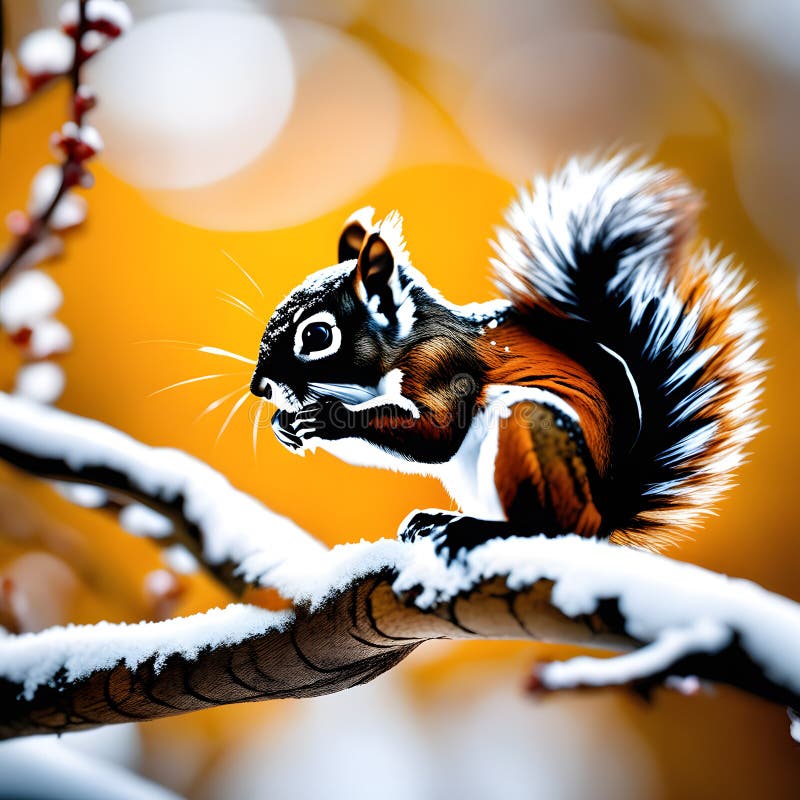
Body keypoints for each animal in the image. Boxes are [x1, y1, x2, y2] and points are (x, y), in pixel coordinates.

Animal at [250, 155, 764, 559]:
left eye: (317, 335)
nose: (261, 387)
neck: (403, 344)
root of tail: (603, 510)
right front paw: (284, 423)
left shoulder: (443, 365)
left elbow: (436, 433)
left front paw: (327, 416)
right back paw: (440, 521)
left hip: (528, 429)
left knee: (555, 527)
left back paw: (475, 531)